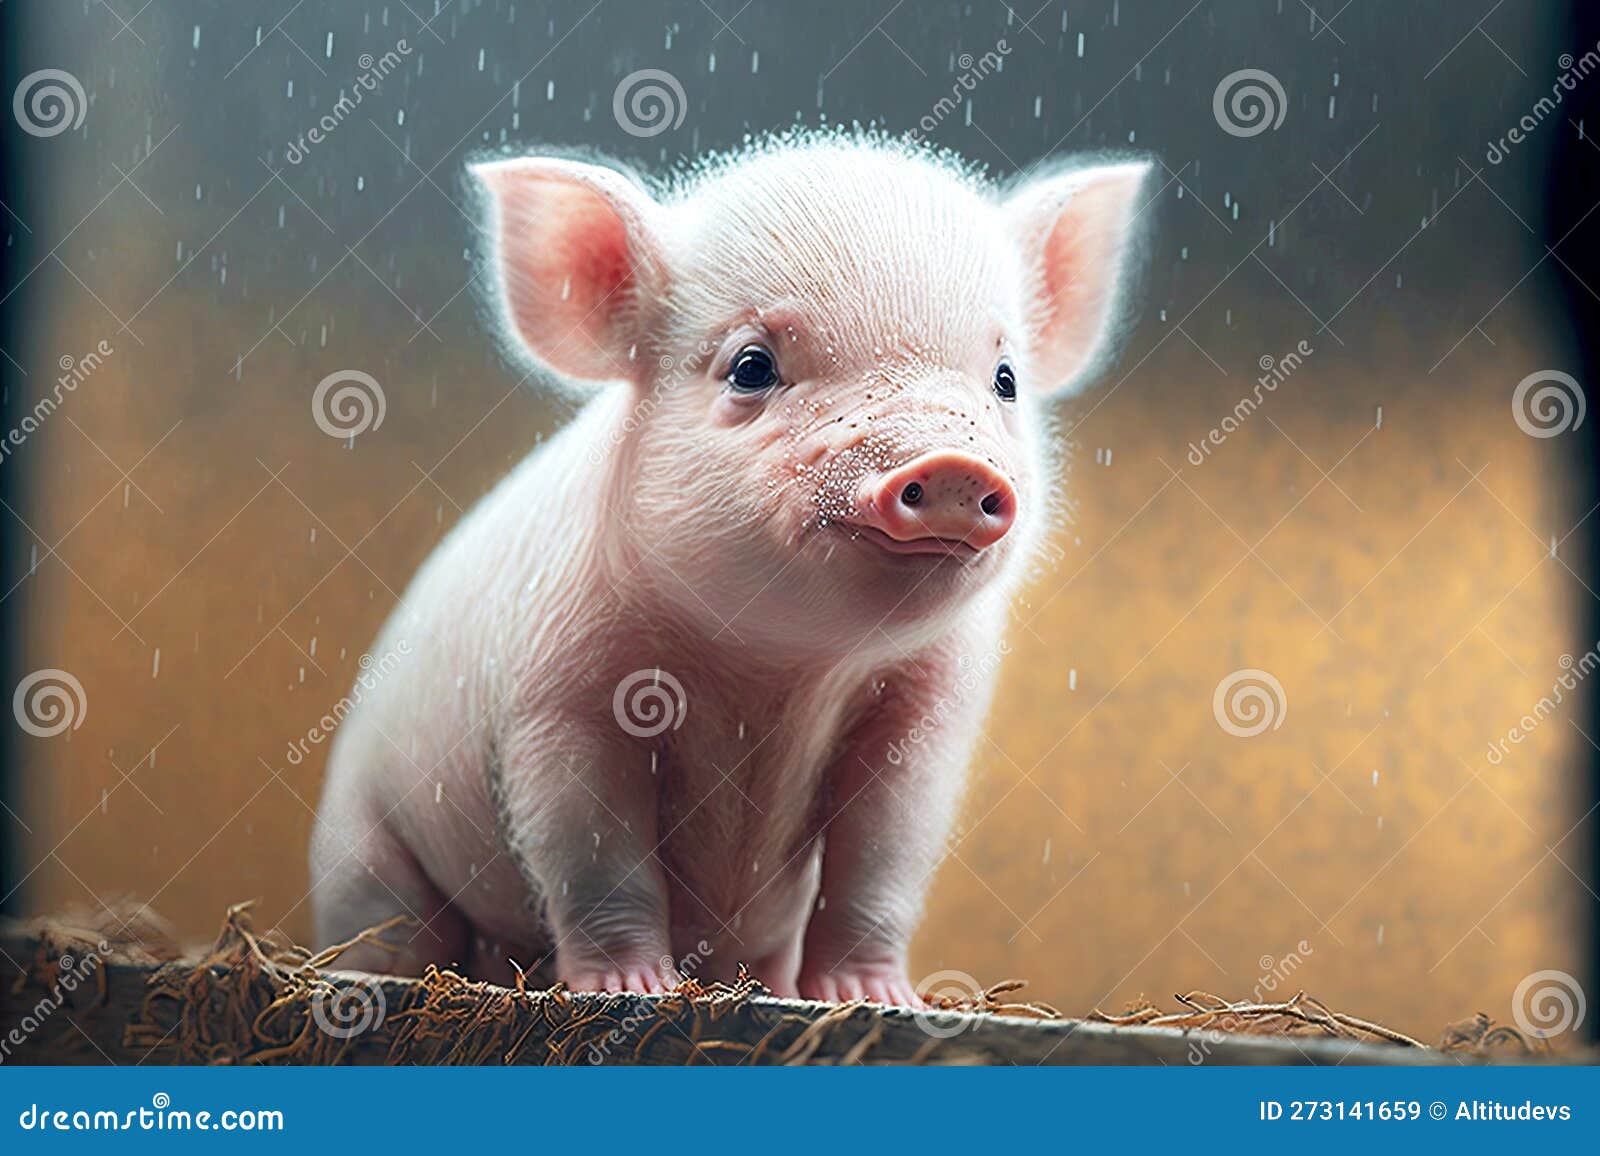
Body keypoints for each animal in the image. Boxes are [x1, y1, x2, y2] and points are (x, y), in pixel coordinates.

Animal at [309, 131, 1150, 1005]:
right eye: (751, 367)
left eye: (1006, 380)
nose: (950, 463)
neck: (777, 672)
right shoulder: (553, 695)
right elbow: (596, 856)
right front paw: (633, 988)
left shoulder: (927, 709)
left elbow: (882, 861)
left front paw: (875, 998)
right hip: (360, 839)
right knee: (389, 921)